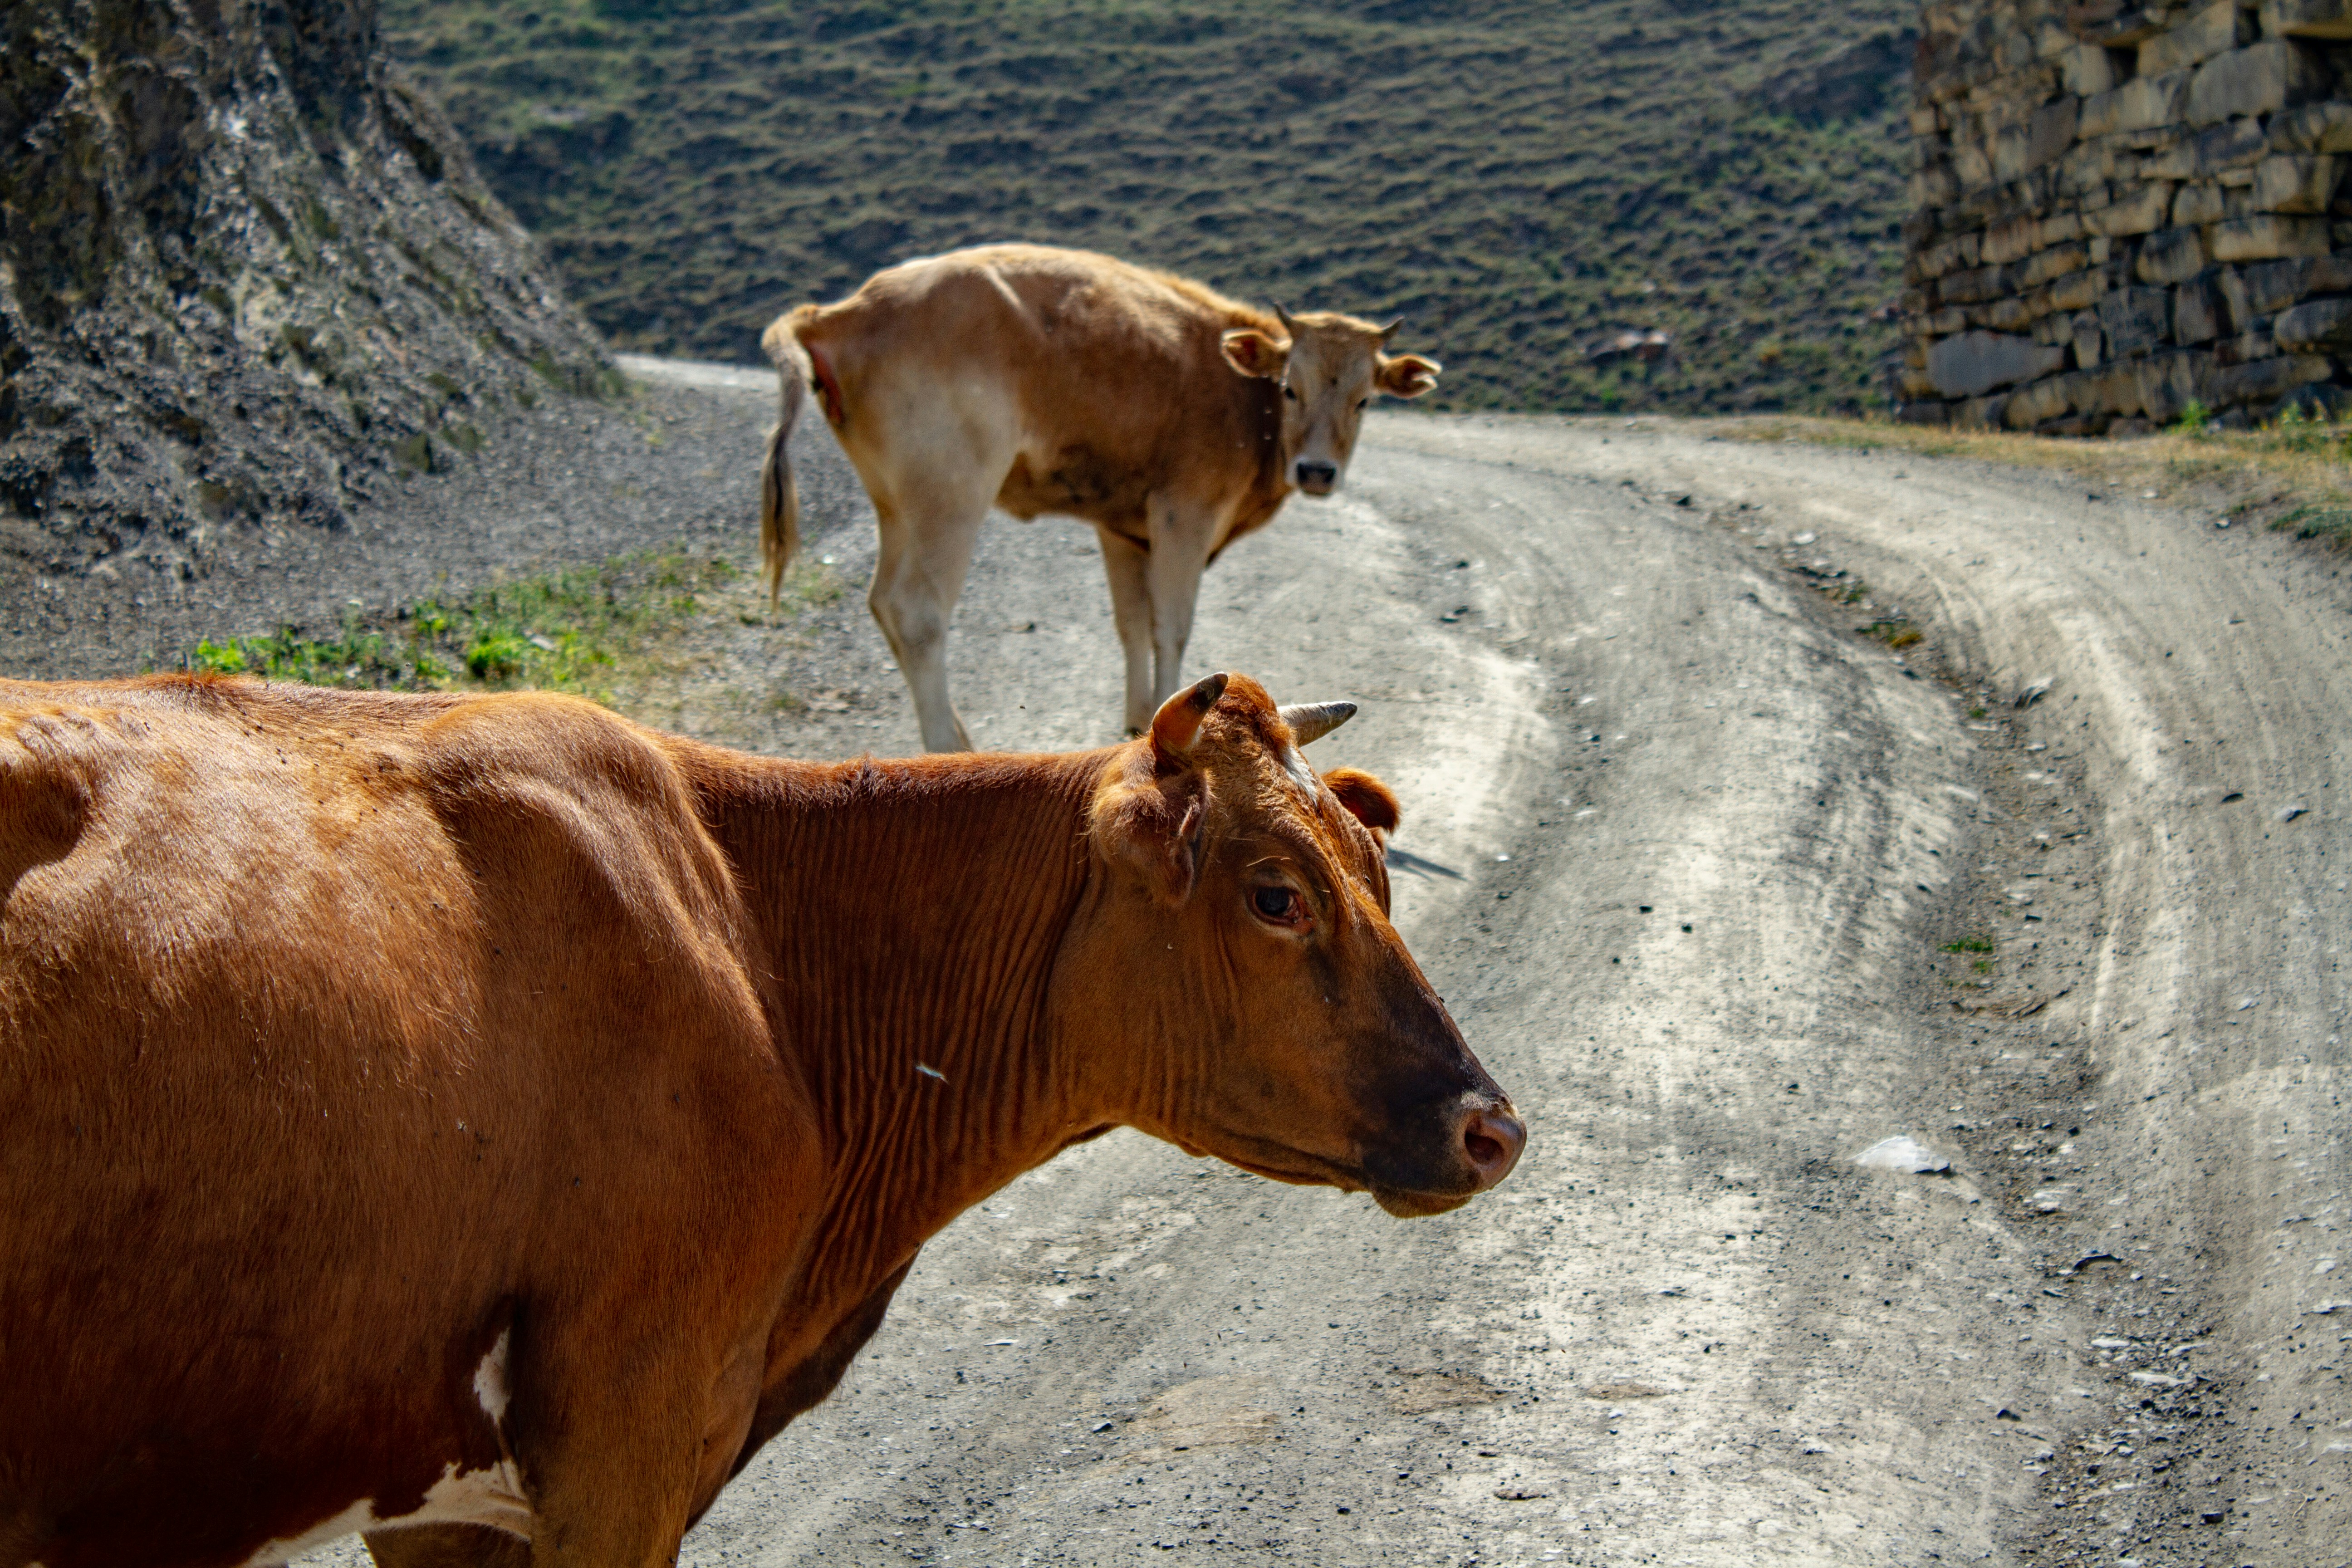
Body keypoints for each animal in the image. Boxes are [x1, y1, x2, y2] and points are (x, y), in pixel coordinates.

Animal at [757, 244, 1442, 752]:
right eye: (1290, 388)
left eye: (1365, 399)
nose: (1318, 470)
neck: (1240, 394)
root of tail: (844, 311)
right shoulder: (1183, 516)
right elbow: (1171, 626)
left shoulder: (1122, 528)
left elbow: (1131, 624)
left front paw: (1141, 721)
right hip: (949, 497)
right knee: (917, 613)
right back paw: (948, 751)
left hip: (898, 505)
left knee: (884, 605)